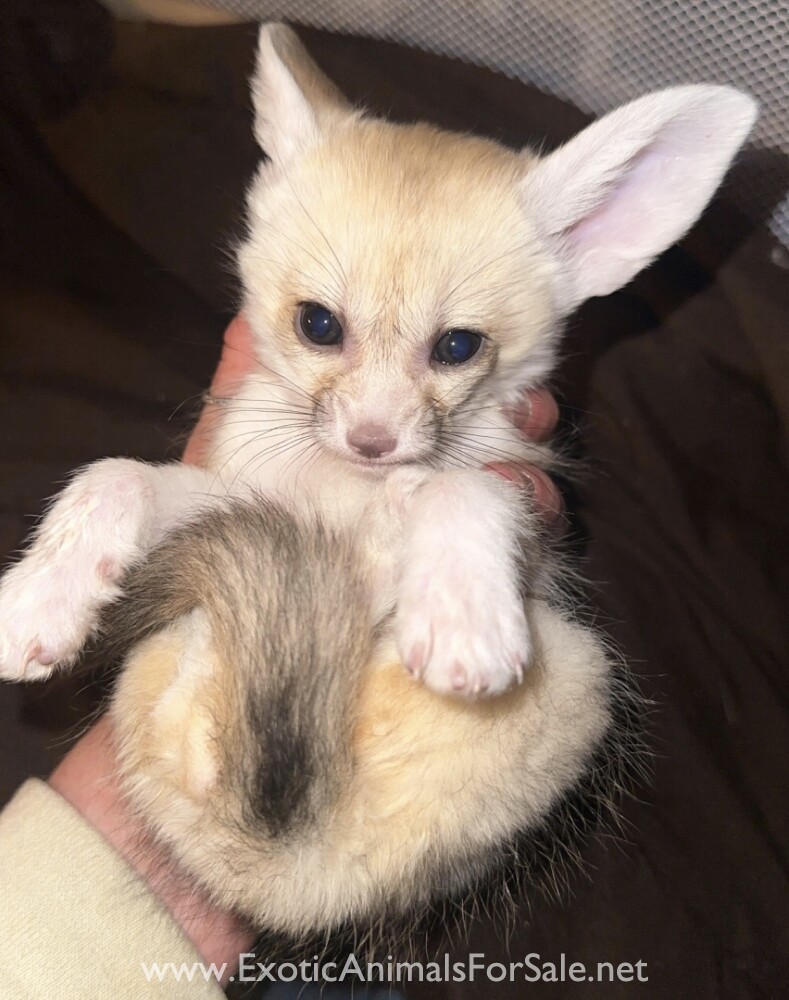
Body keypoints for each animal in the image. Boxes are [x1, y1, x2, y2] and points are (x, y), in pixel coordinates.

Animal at [0, 24, 755, 945]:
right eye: (318, 325)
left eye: (458, 347)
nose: (373, 442)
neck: (347, 503)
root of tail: (291, 859)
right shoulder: (249, 497)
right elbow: (113, 476)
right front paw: (43, 594)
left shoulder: (510, 507)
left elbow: (461, 489)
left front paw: (461, 612)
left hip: (579, 663)